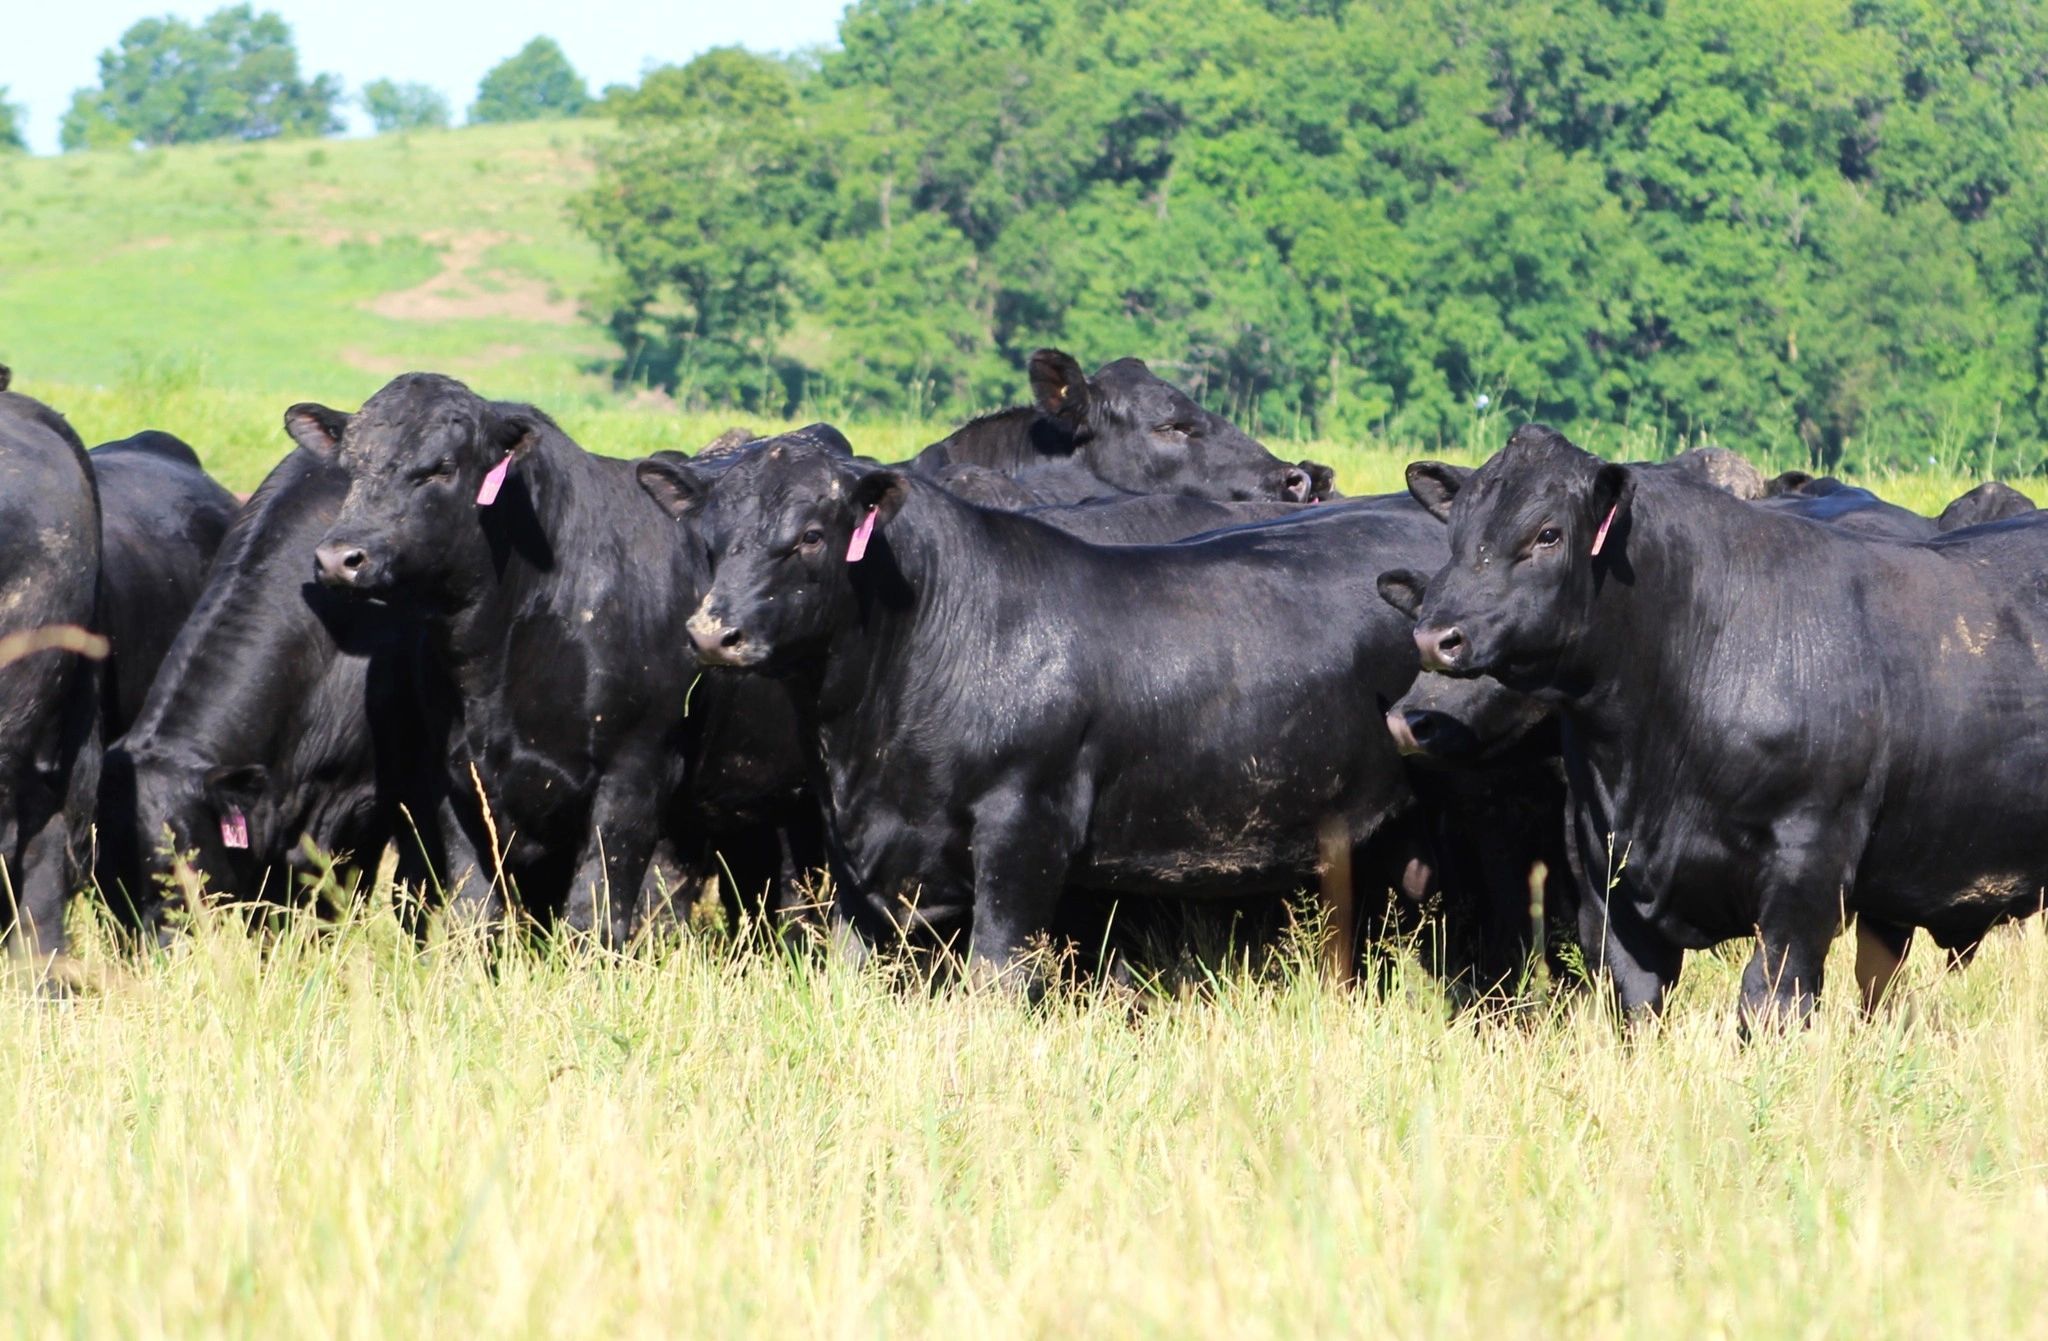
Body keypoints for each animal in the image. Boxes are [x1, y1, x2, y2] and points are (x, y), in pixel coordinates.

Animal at [640, 432, 1439, 982]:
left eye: (810, 536)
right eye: (710, 540)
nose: (712, 631)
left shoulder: (1025, 827)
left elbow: (997, 975)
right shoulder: (858, 850)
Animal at [1401, 423, 2048, 1027]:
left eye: (1547, 534)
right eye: (1456, 533)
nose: (1436, 637)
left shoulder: (1806, 871)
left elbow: (1770, 1001)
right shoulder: (1603, 882)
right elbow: (1638, 1006)